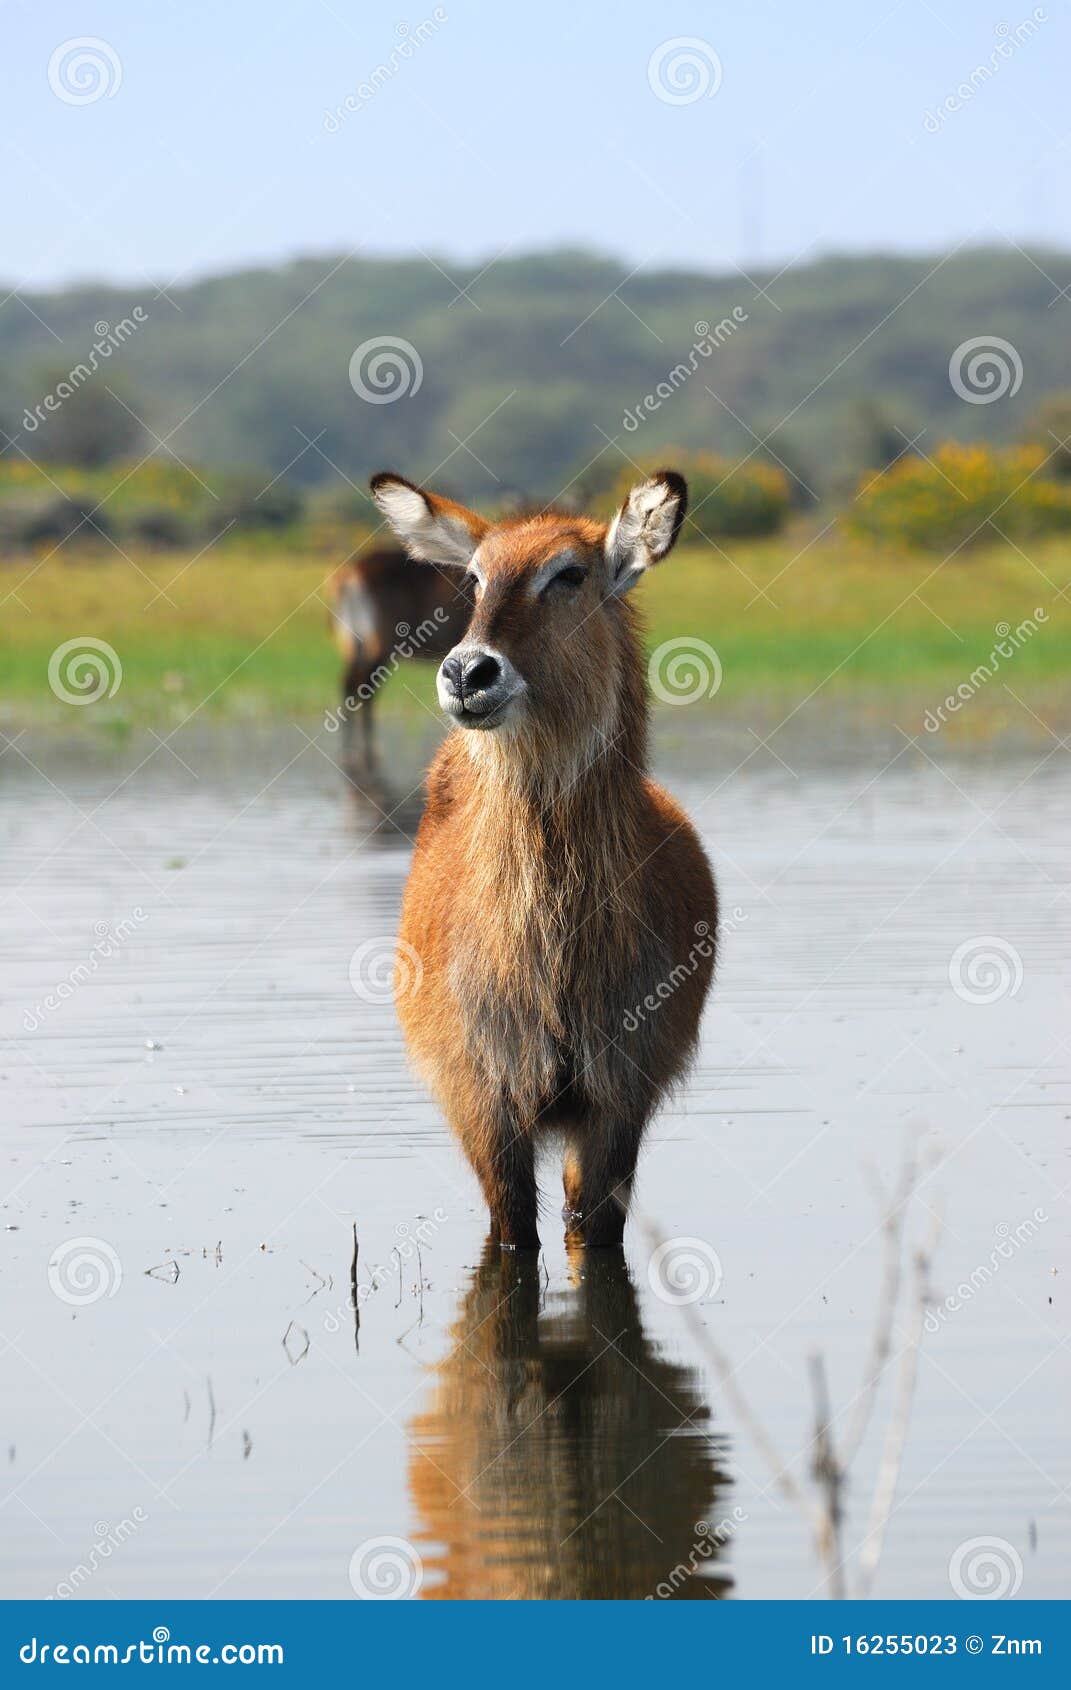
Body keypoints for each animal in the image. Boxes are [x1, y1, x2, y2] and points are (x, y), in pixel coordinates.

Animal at [327, 547, 473, 771]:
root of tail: (353, 571)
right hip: (379, 646)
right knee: (364, 688)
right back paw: (364, 754)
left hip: (354, 645)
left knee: (350, 684)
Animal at [372, 468, 717, 1249]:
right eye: (474, 578)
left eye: (569, 574)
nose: (468, 672)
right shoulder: (484, 1097)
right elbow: (513, 1234)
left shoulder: (619, 1096)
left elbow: (591, 1232)